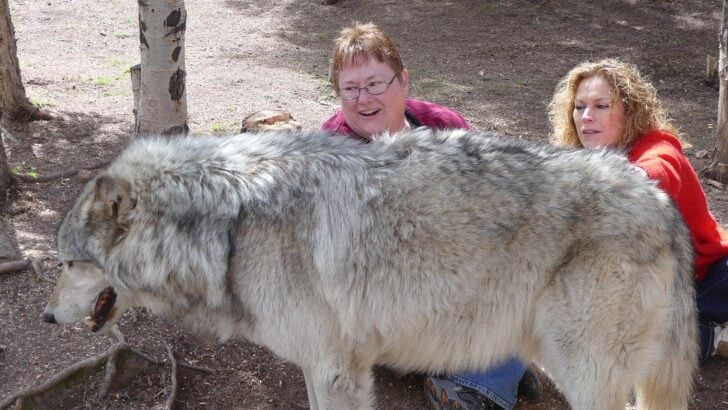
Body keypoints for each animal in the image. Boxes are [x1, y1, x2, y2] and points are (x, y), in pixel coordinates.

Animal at [43, 128, 698, 410]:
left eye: (71, 262)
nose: (46, 318)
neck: (227, 229)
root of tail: (663, 205)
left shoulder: (336, 368)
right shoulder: (325, 364)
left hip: (584, 369)